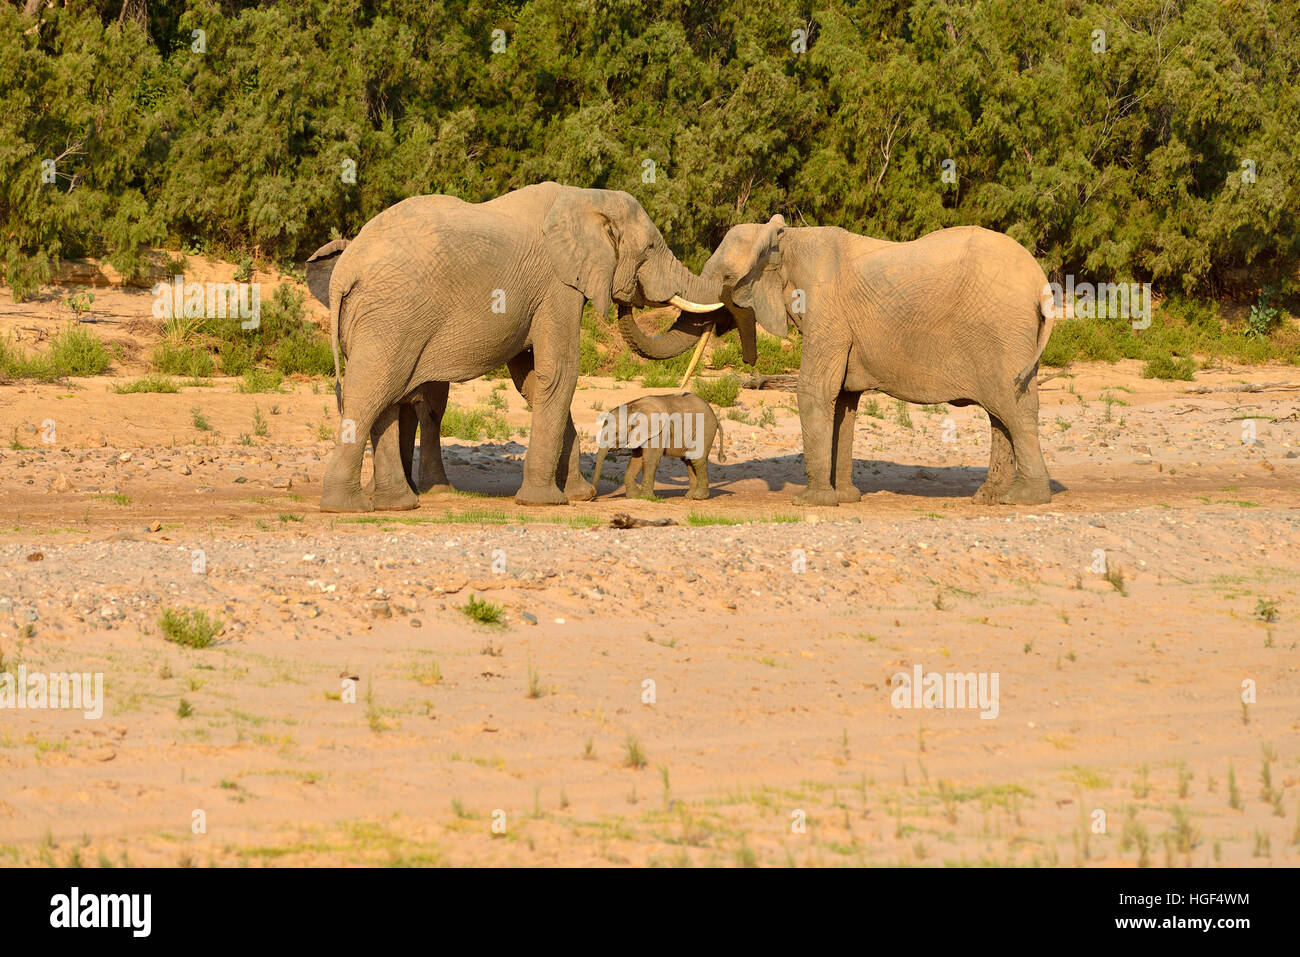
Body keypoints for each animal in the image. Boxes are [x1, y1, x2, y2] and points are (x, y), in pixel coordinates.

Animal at [588, 393, 725, 500]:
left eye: (616, 434)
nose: (593, 495)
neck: (633, 407)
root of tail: (715, 416)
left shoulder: (659, 431)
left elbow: (650, 458)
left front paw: (645, 498)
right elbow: (638, 459)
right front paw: (634, 497)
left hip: (705, 428)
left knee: (695, 458)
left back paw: (699, 497)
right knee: (688, 460)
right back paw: (690, 496)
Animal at [623, 216, 1056, 506]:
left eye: (728, 279)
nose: (630, 294)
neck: (788, 241)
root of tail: (1040, 283)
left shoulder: (826, 309)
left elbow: (816, 392)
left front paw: (810, 502)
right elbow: (845, 402)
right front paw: (846, 498)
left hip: (1003, 331)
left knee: (1014, 409)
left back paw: (1024, 499)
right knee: (1001, 413)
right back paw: (988, 497)